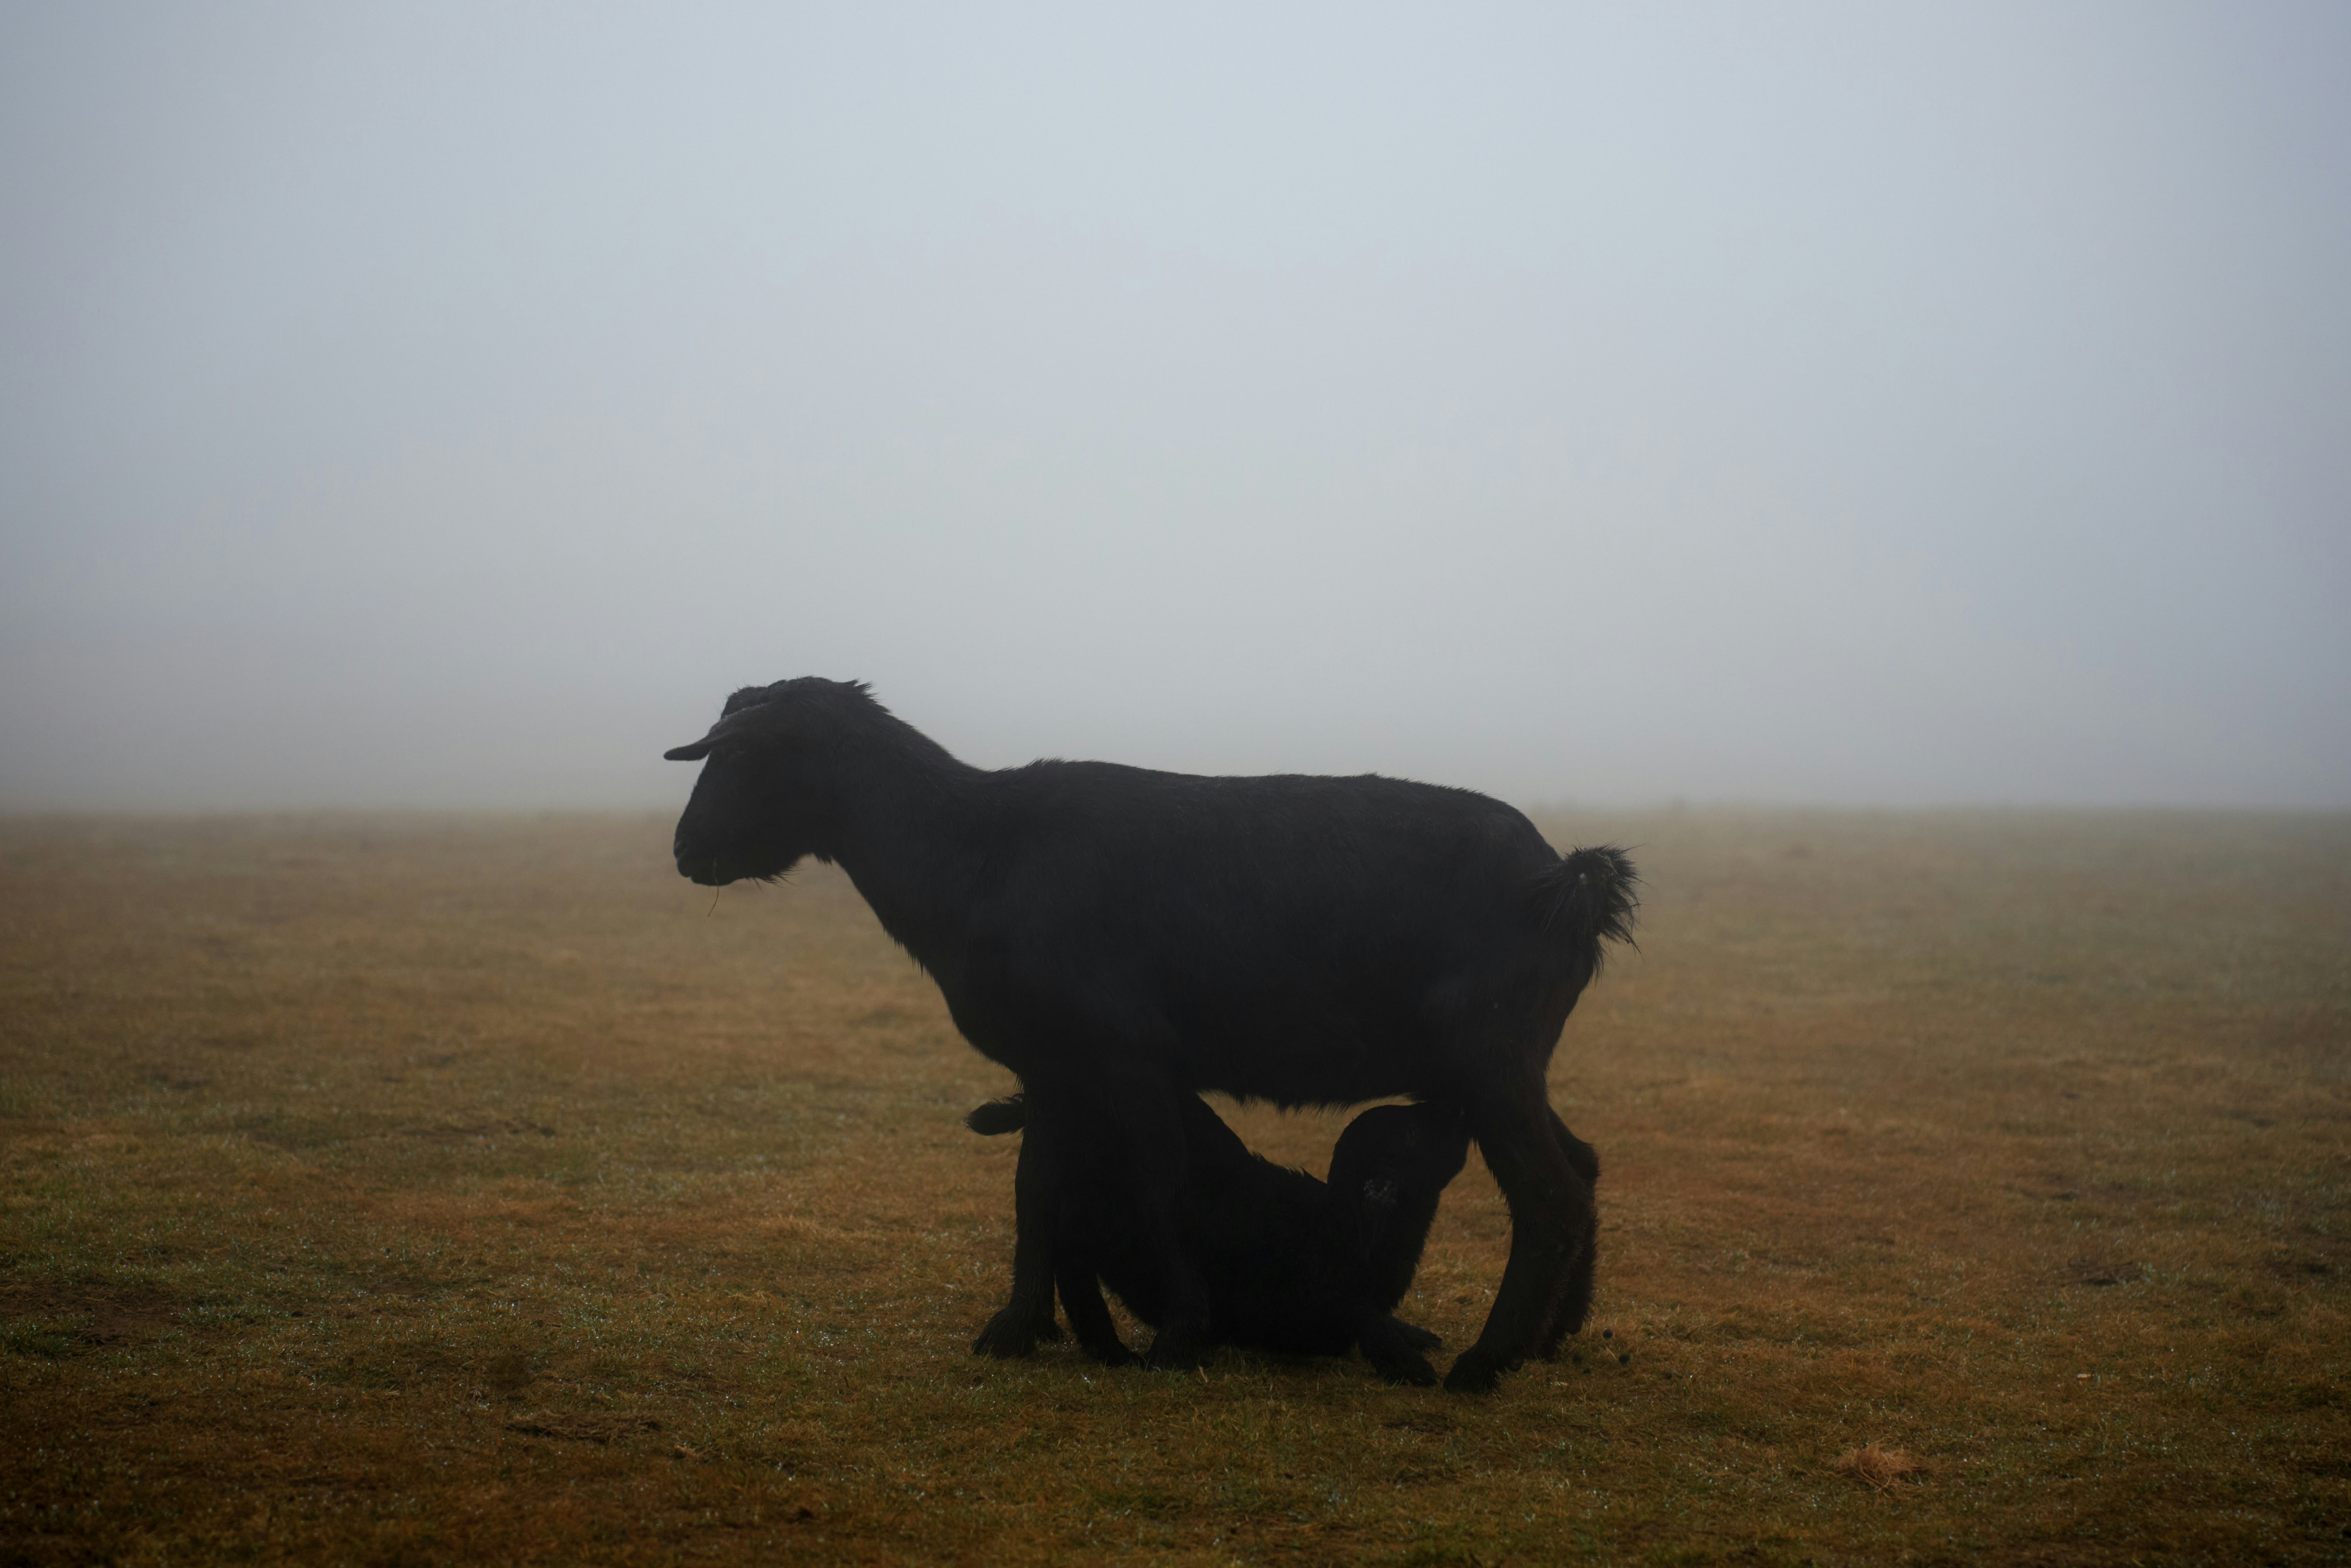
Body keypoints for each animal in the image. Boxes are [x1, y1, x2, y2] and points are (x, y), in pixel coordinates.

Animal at [965, 1092, 1470, 1383]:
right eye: (1410, 1134)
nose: (1456, 1104)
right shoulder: (1316, 1295)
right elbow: (1364, 1314)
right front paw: (1411, 1367)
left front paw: (1415, 1339)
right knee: (1068, 1269)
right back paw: (1112, 1352)